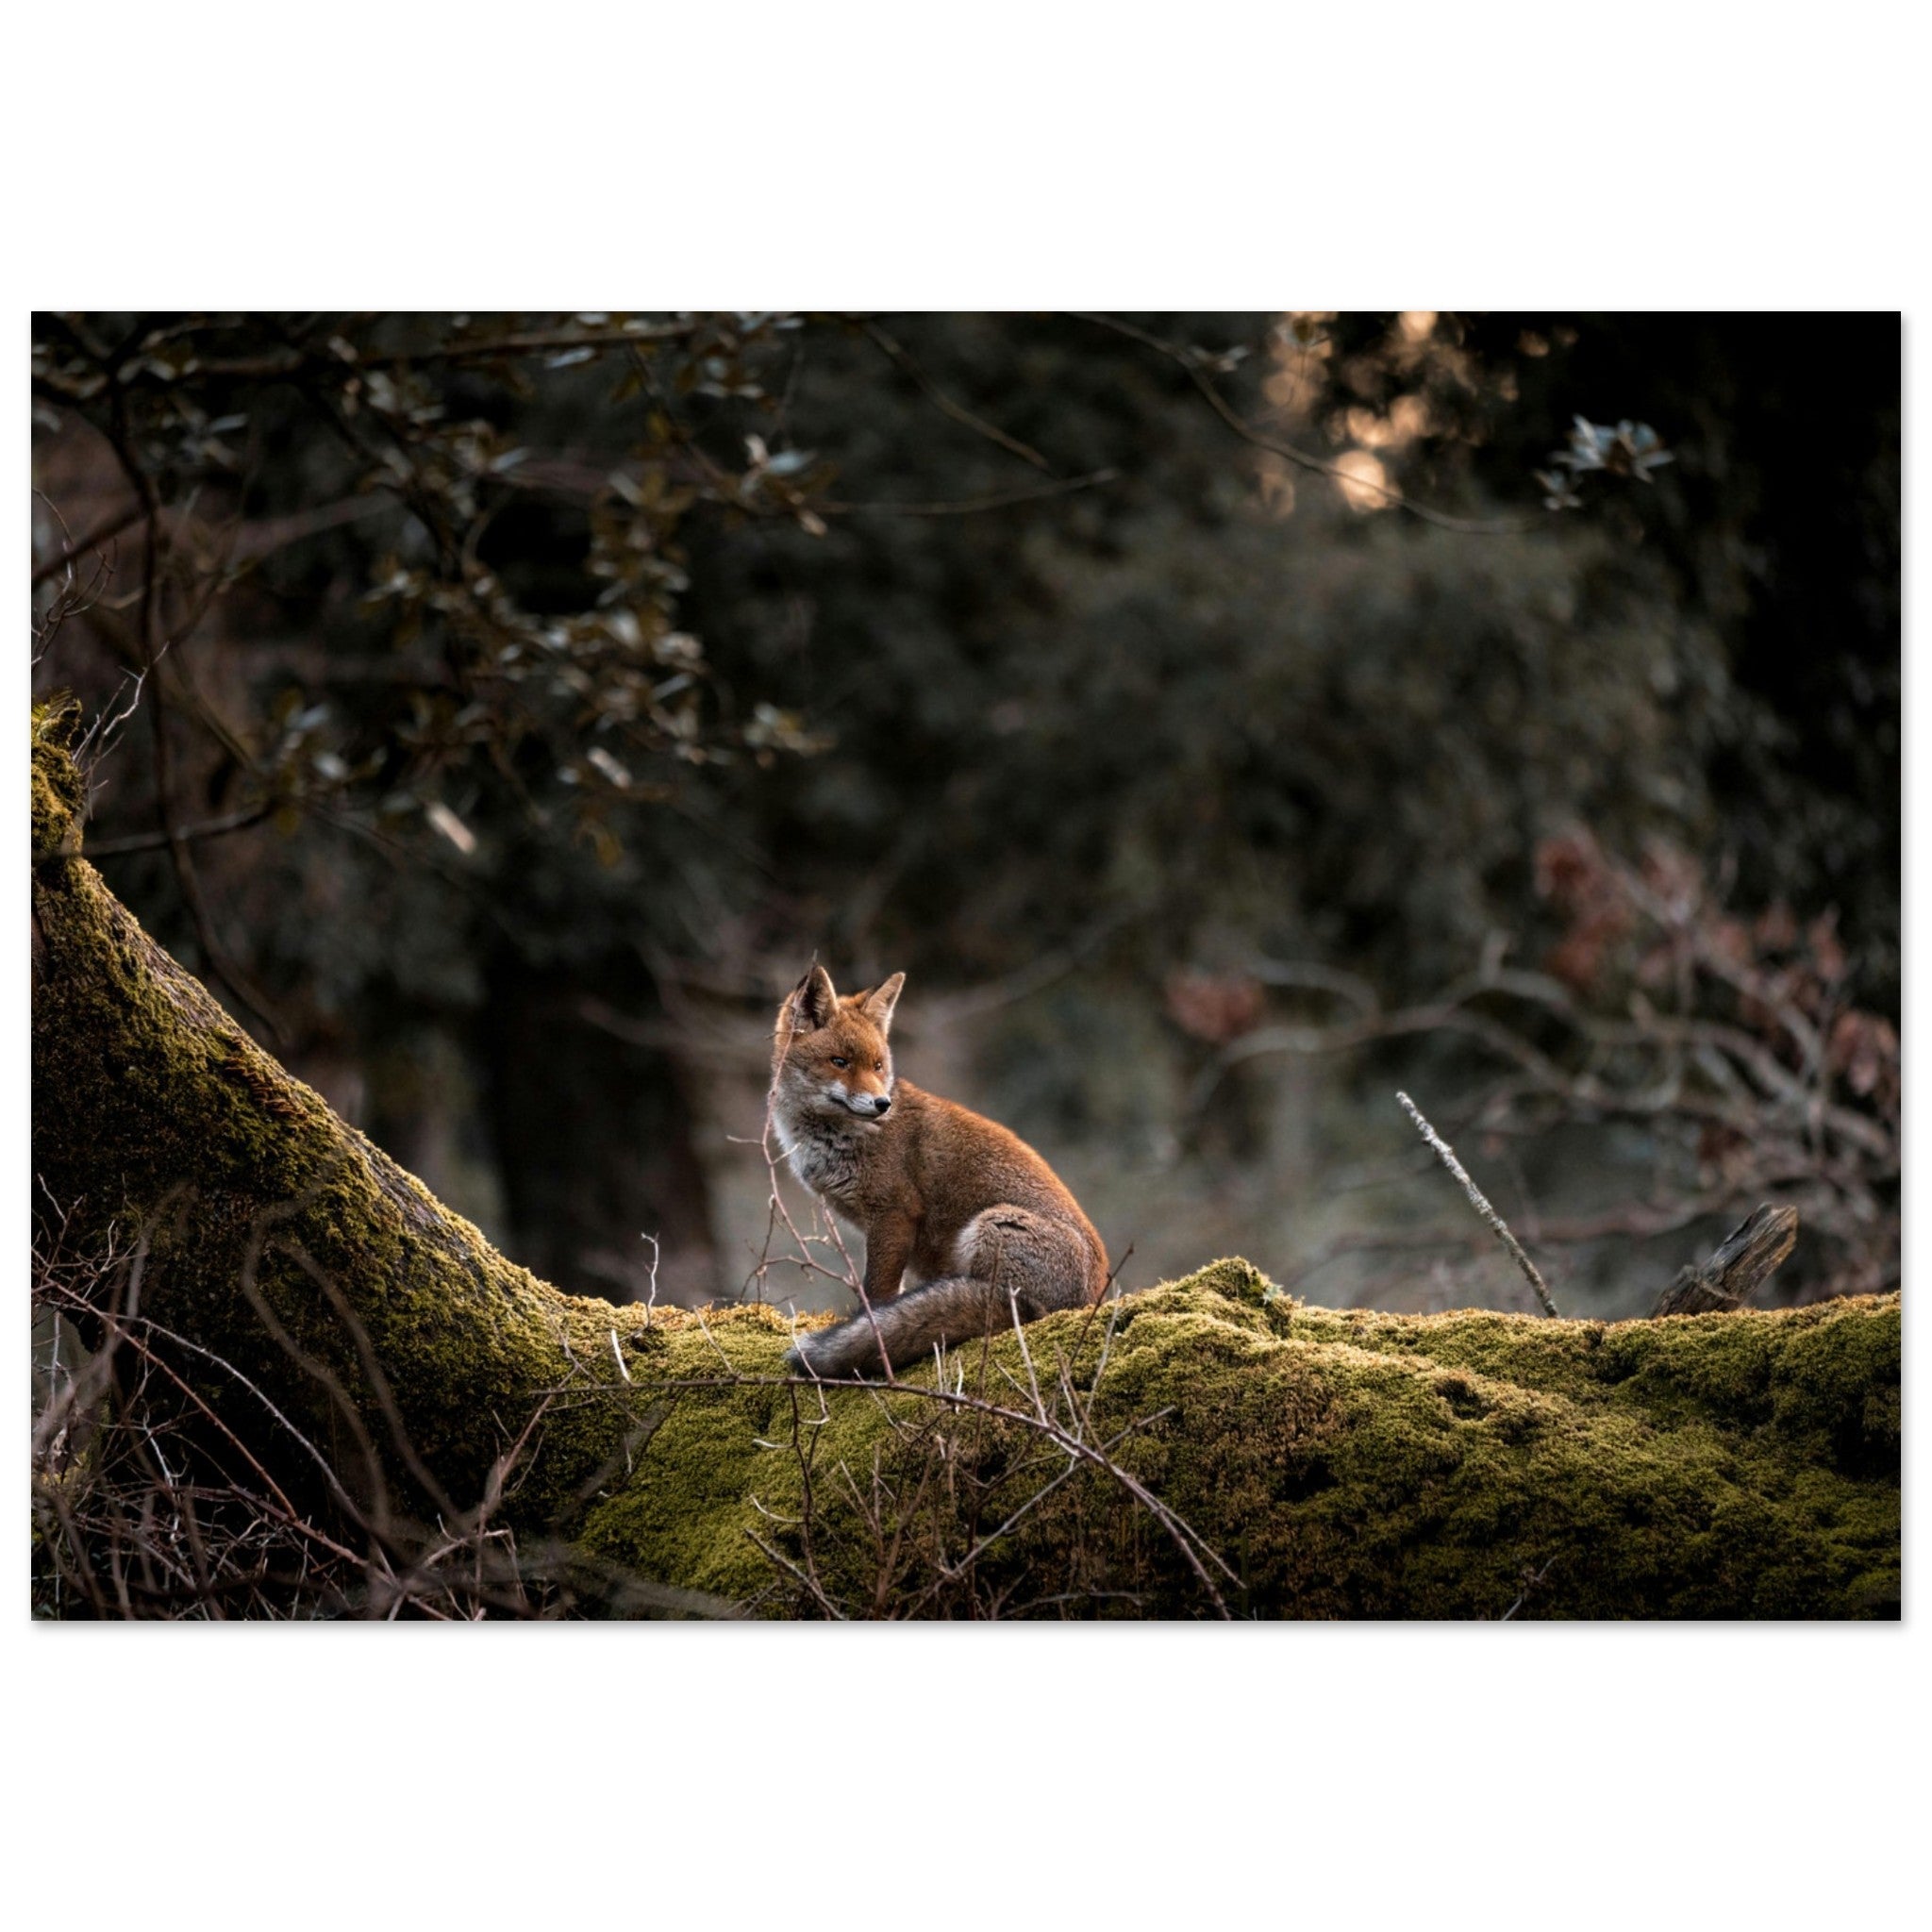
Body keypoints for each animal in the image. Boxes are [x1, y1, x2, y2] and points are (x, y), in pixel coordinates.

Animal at [772, 964, 1110, 1378]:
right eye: (840, 1062)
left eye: (878, 1066)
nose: (882, 1104)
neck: (834, 1139)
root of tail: (1091, 1299)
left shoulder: (895, 1214)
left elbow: (877, 1295)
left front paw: (870, 1334)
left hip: (991, 1227)